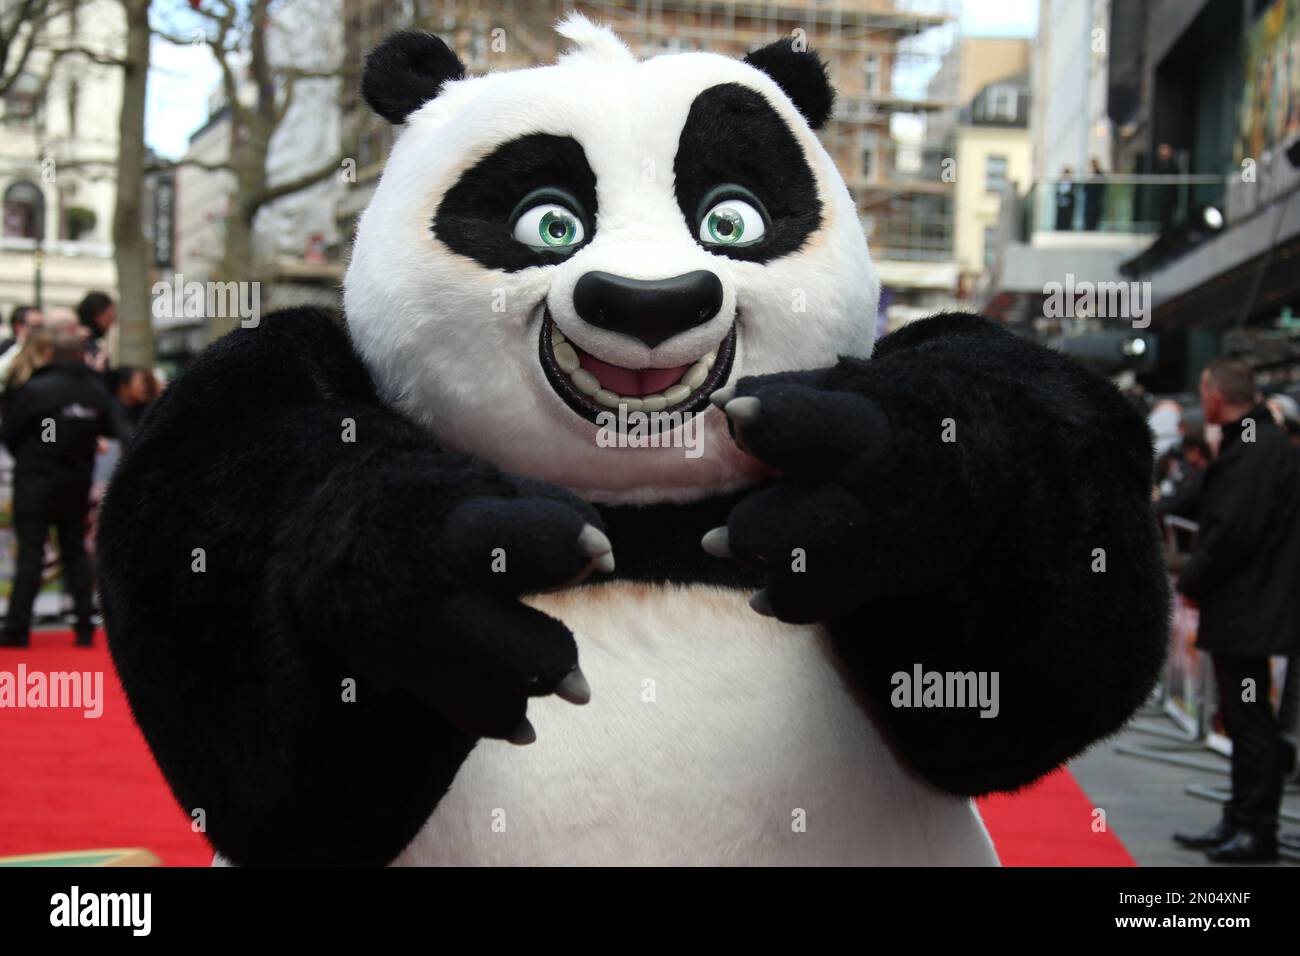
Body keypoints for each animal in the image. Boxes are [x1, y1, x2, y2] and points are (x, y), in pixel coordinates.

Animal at [99, 15, 1169, 866]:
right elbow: (252, 731)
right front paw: (432, 568)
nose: (651, 303)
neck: (644, 521)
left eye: (729, 219)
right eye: (550, 224)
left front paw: (888, 488)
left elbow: (1037, 680)